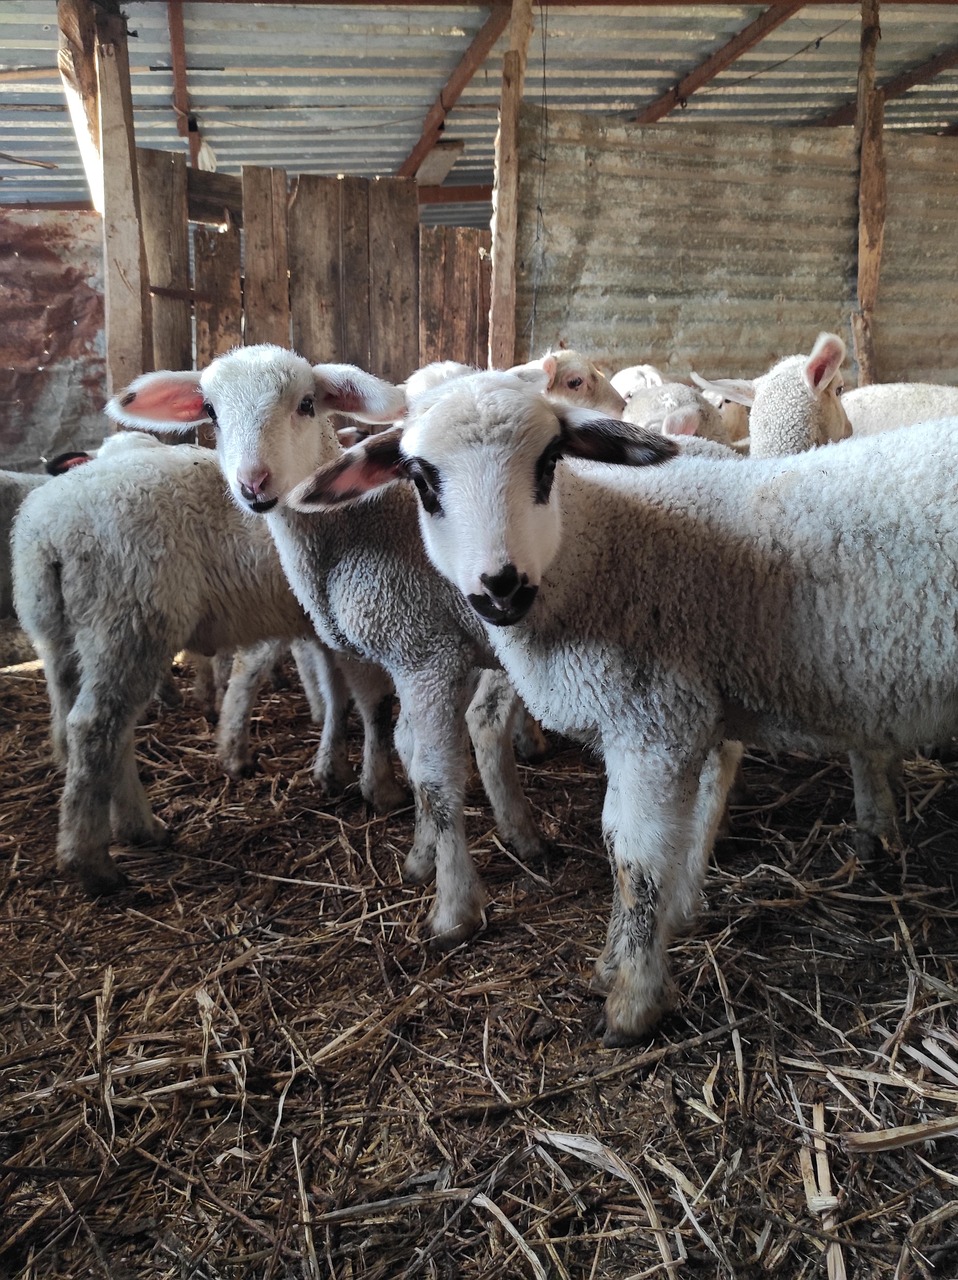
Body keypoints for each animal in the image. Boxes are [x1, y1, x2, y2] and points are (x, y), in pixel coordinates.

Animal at [12, 436, 404, 895]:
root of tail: (46, 530)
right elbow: (371, 701)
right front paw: (381, 786)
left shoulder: (321, 621)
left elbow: (334, 688)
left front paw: (331, 766)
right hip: (127, 620)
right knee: (94, 727)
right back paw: (92, 863)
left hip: (69, 635)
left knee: (101, 729)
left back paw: (138, 827)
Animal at [105, 346, 545, 946]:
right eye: (211, 412)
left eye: (306, 405)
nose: (254, 483)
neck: (357, 528)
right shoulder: (388, 649)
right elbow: (400, 740)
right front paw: (419, 855)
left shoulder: (427, 652)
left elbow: (435, 774)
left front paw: (455, 907)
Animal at [291, 370, 958, 1044]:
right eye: (422, 480)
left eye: (549, 461)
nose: (502, 587)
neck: (597, 554)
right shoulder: (633, 722)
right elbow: (615, 841)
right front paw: (613, 962)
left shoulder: (654, 721)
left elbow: (639, 858)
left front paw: (634, 1002)